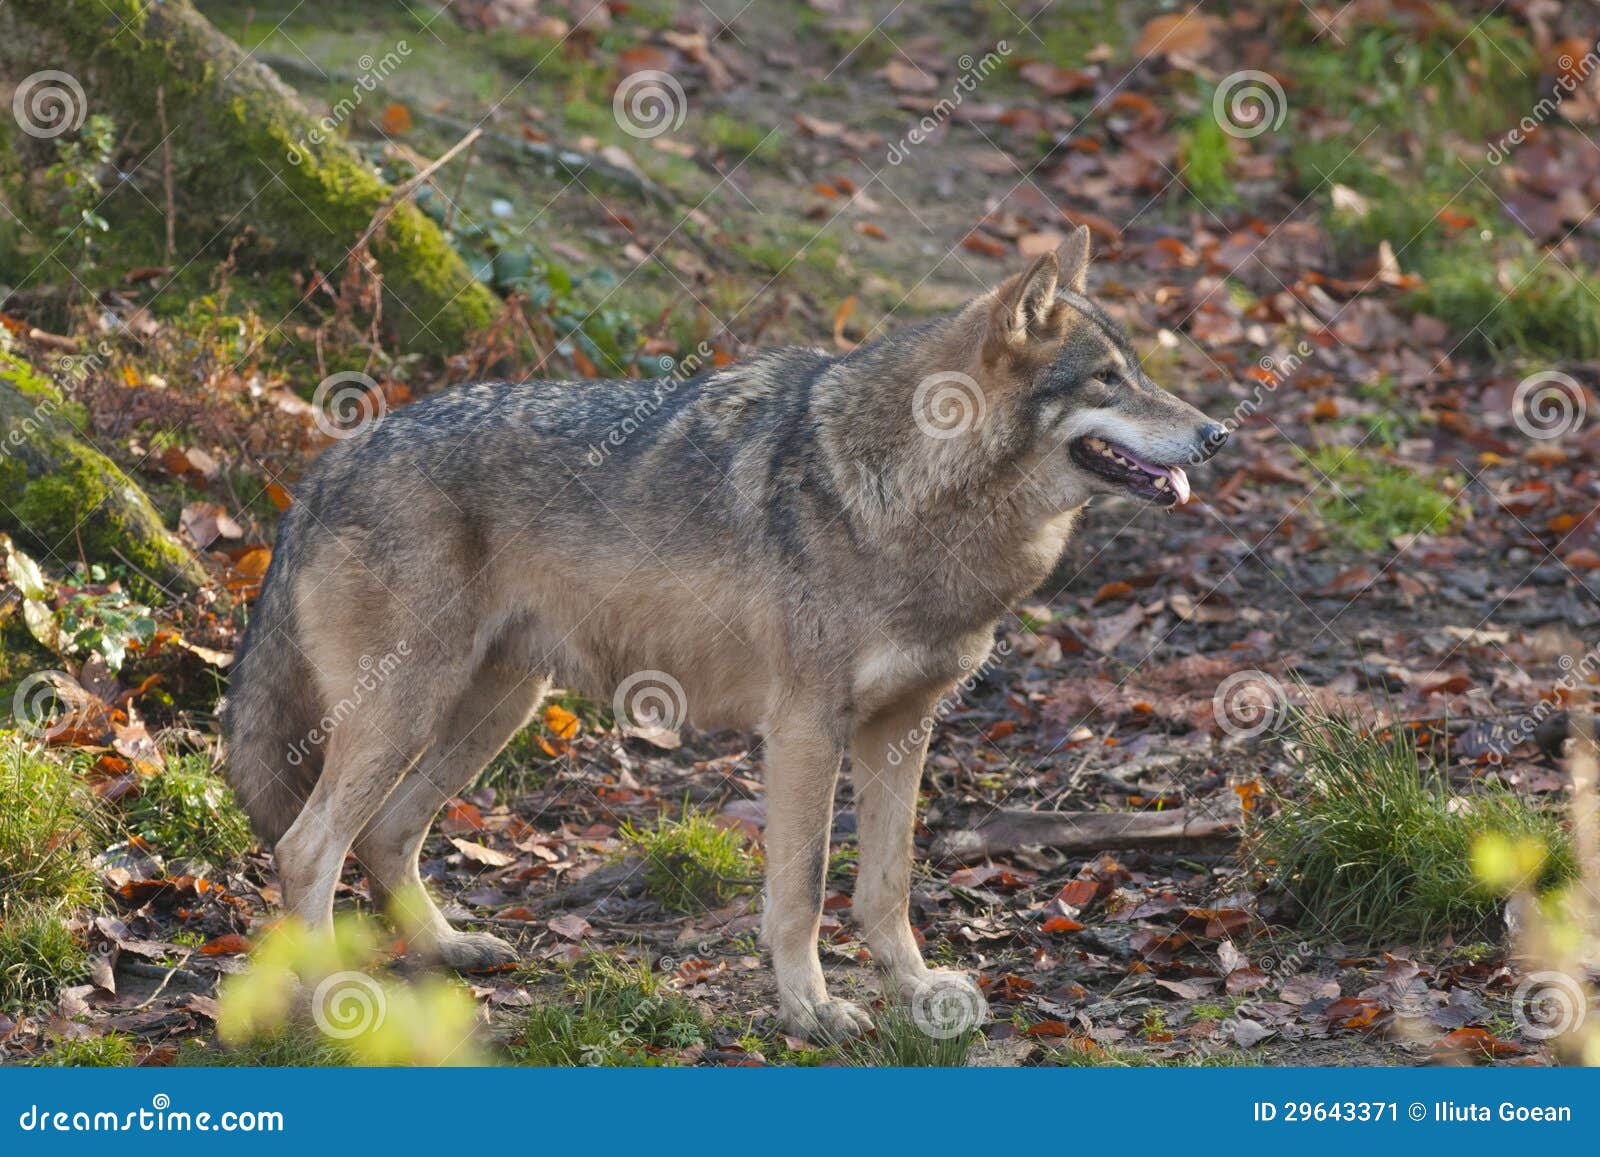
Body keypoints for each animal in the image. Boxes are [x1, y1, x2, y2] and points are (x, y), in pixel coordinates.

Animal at [221, 226, 1226, 1038]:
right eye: (1107, 380)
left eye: (1141, 372)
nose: (1217, 432)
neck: (913, 492)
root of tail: (327, 461)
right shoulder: (806, 728)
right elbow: (804, 889)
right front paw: (813, 1010)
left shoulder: (904, 727)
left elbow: (888, 884)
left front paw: (915, 992)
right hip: (411, 708)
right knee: (309, 847)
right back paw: (329, 1001)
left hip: (496, 708)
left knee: (387, 836)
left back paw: (448, 949)